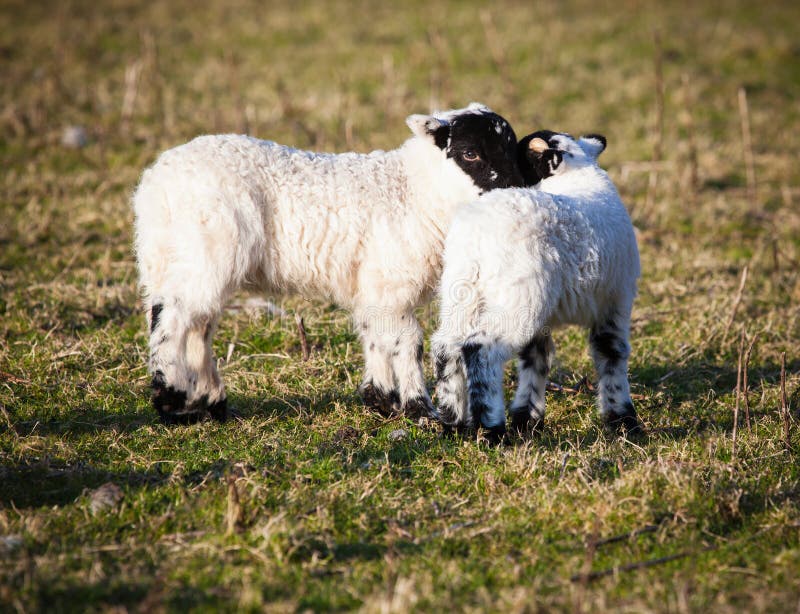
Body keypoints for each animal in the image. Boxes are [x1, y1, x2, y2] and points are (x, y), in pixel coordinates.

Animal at [133, 103, 523, 424]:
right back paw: (172, 401)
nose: (514, 190)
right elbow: (409, 341)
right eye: (470, 153)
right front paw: (419, 409)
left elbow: (374, 334)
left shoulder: (372, 286)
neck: (414, 193)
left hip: (171, 256)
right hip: (206, 248)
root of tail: (156, 184)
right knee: (174, 317)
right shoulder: (391, 282)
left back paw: (207, 402)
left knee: (193, 322)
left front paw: (380, 399)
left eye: (512, 150)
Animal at [431, 130, 642, 439]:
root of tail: (478, 234)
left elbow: (535, 360)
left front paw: (526, 418)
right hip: (519, 298)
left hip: (463, 292)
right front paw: (624, 419)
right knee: (480, 349)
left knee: (446, 346)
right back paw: (491, 429)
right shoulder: (615, 300)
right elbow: (611, 352)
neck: (580, 174)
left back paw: (453, 422)